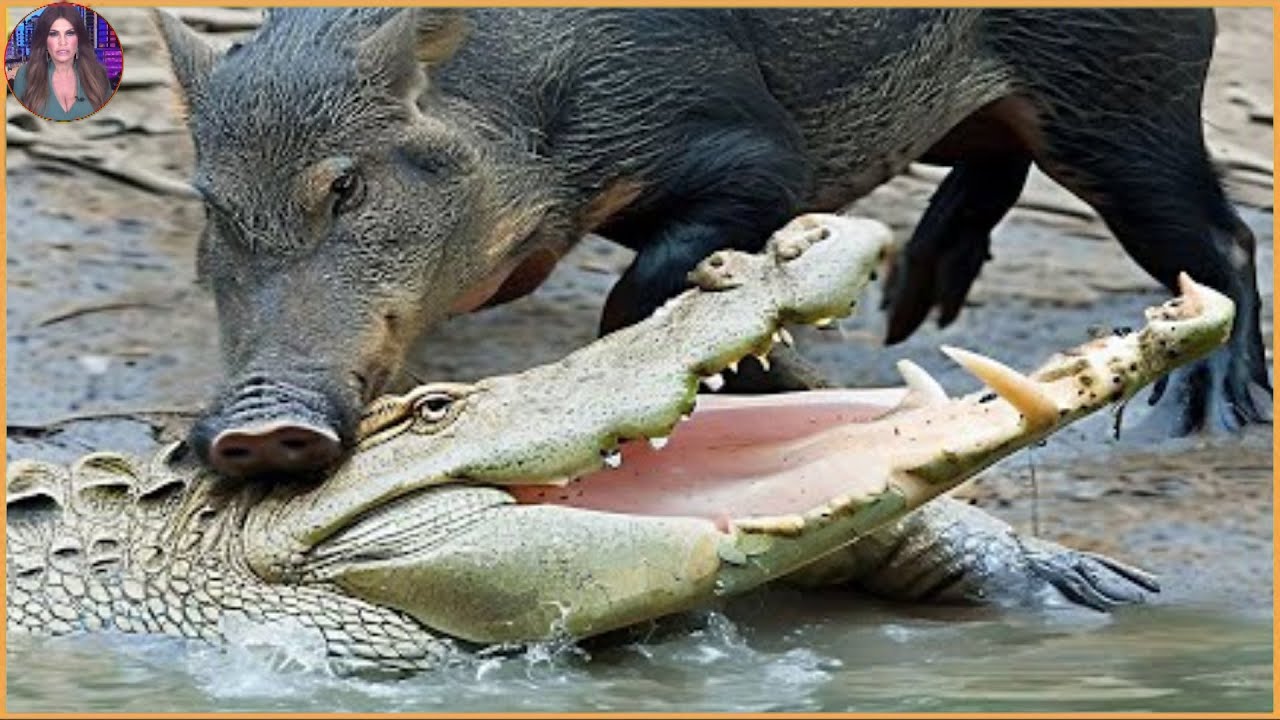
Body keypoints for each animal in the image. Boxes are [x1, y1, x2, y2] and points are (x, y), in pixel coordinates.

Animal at [153, 8, 1271, 480]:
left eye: (345, 185)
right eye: (211, 203)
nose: (258, 426)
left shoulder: (749, 152)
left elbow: (638, 296)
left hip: (1119, 100)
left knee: (1224, 239)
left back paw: (1211, 418)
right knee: (994, 162)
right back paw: (911, 311)